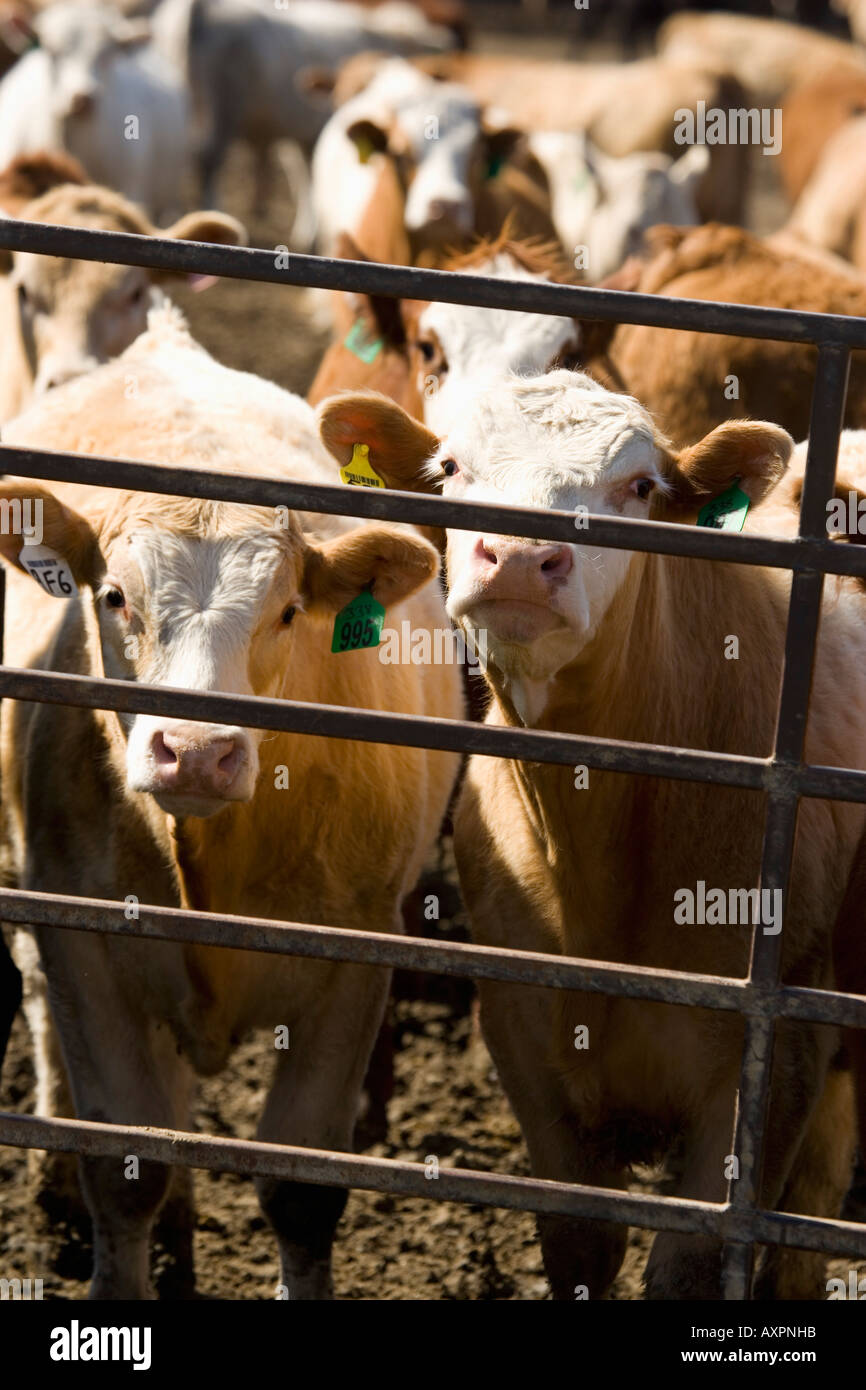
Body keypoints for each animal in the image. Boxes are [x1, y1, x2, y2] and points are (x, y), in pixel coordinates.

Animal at [0, 302, 463, 1299]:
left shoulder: (353, 965)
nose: (197, 753)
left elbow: (300, 1189)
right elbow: (123, 1168)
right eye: (113, 596)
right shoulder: (84, 946)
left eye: (288, 611)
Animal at [317, 374, 866, 1299]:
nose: (518, 561)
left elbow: (688, 1264)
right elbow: (581, 1241)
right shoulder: (523, 1035)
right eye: (451, 467)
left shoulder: (778, 1063)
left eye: (639, 487)